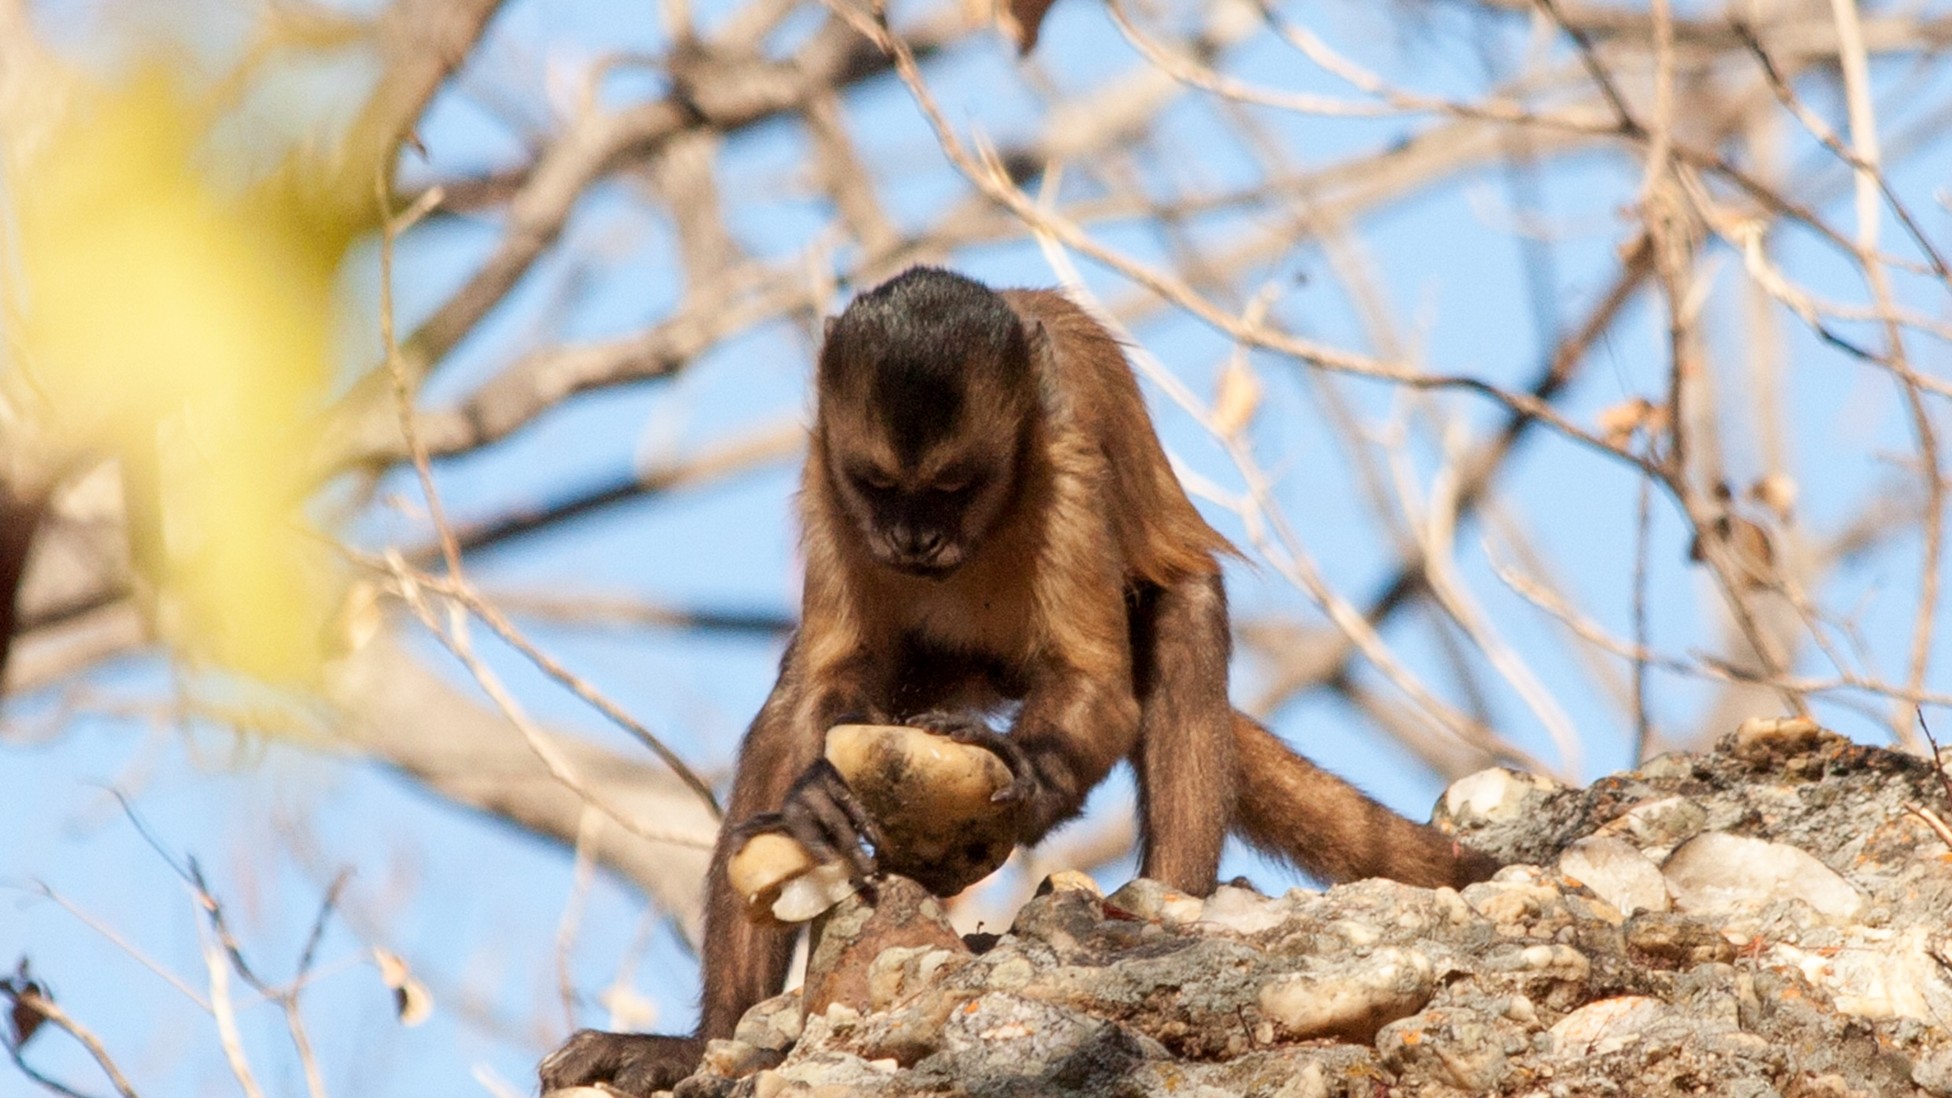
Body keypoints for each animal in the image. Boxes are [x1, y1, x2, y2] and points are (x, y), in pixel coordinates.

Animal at [539, 267, 1498, 1094]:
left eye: (953, 488)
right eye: (879, 486)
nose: (914, 538)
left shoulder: (1068, 458)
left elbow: (1099, 687)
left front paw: (1026, 773)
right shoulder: (825, 468)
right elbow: (820, 685)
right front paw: (817, 797)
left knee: (1180, 618)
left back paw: (1169, 902)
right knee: (794, 704)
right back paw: (705, 1042)